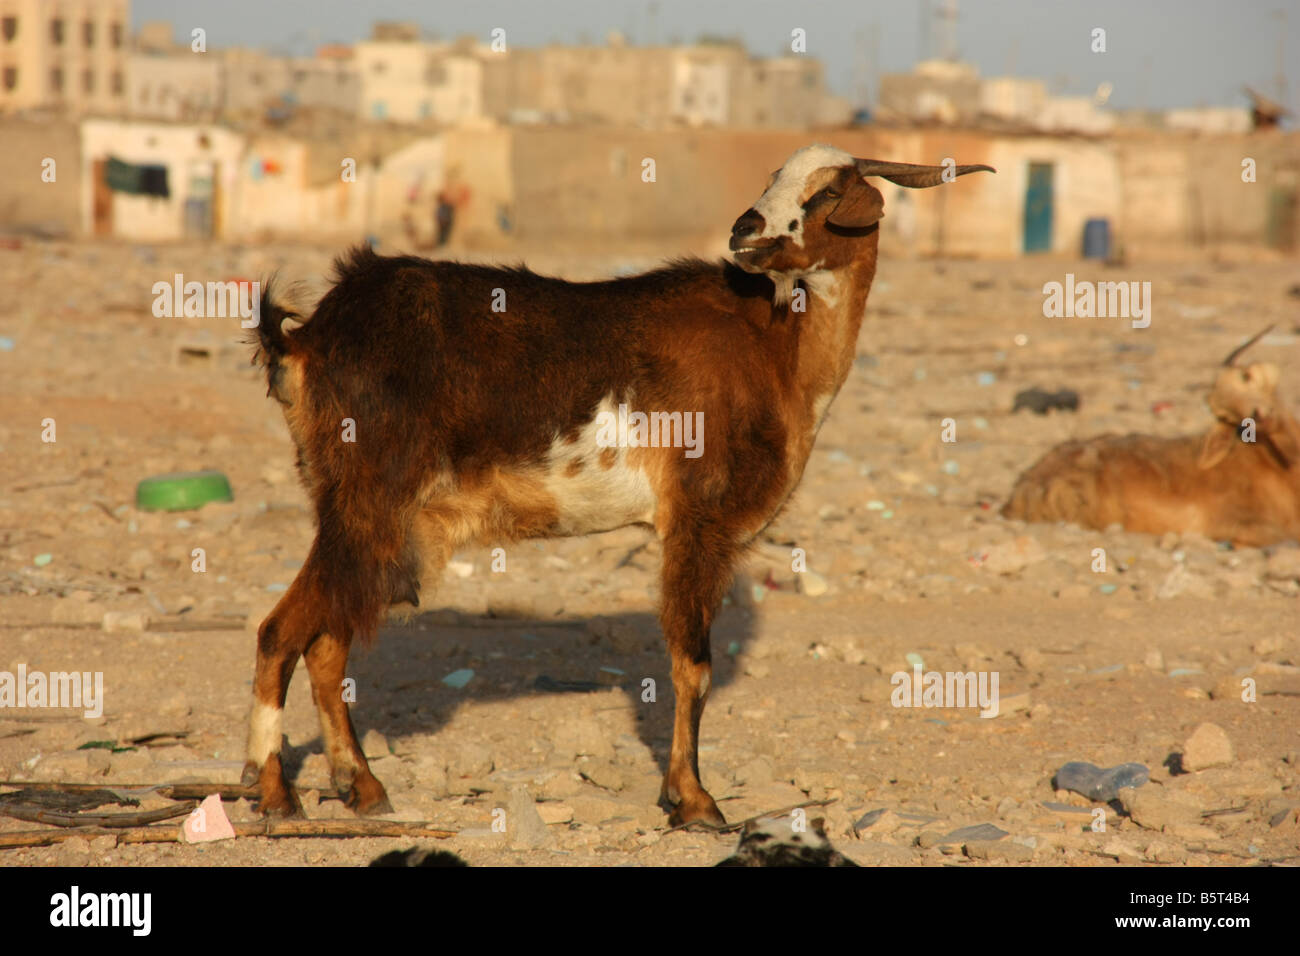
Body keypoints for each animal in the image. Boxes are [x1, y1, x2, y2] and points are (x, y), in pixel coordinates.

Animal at [245, 144, 993, 826]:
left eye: (828, 191)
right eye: (774, 180)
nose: (745, 229)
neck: (777, 350)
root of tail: (308, 337)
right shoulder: (697, 519)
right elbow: (693, 664)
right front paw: (693, 800)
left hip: (364, 516)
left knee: (326, 641)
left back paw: (360, 787)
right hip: (366, 503)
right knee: (282, 631)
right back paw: (275, 793)